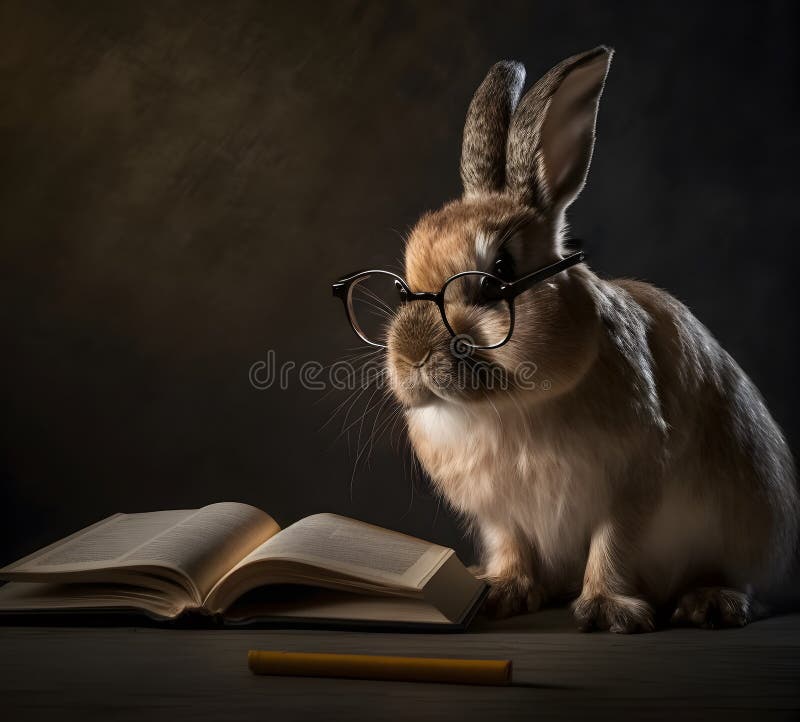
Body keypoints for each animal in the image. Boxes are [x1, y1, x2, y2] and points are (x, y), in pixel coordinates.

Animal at [384, 46, 799, 632]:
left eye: (497, 276)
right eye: (403, 286)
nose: (413, 356)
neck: (512, 406)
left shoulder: (631, 486)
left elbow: (613, 546)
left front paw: (607, 611)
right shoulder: (499, 513)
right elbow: (512, 547)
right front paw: (502, 592)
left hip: (748, 525)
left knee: (746, 581)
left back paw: (710, 602)